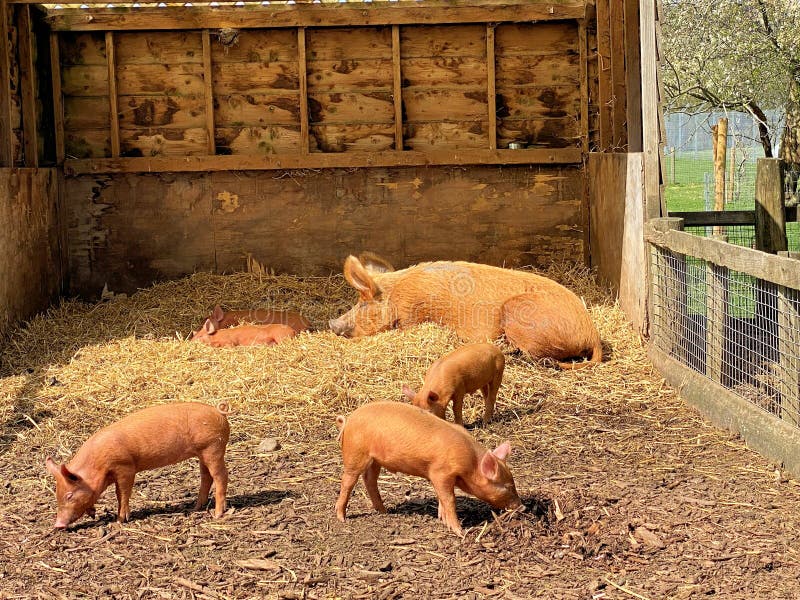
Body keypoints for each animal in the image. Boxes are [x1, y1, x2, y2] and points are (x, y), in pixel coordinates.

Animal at [45, 402, 230, 529]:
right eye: (57, 494)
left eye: (69, 495)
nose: (58, 525)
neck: (98, 464)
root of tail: (218, 411)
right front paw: (93, 514)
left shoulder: (125, 467)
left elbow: (122, 493)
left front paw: (120, 520)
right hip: (202, 452)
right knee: (206, 477)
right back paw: (195, 508)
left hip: (213, 448)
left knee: (221, 476)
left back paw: (217, 514)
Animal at [329, 254, 602, 369]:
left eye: (363, 303)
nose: (332, 324)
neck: (397, 294)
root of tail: (592, 334)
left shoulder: (412, 314)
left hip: (516, 311)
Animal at [335, 401, 522, 537]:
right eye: (507, 487)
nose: (522, 507)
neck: (471, 464)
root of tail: (349, 421)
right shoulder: (440, 472)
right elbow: (449, 499)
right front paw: (459, 532)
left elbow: (442, 498)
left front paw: (442, 518)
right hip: (356, 453)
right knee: (347, 481)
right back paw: (342, 518)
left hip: (375, 459)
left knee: (370, 479)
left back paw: (384, 511)